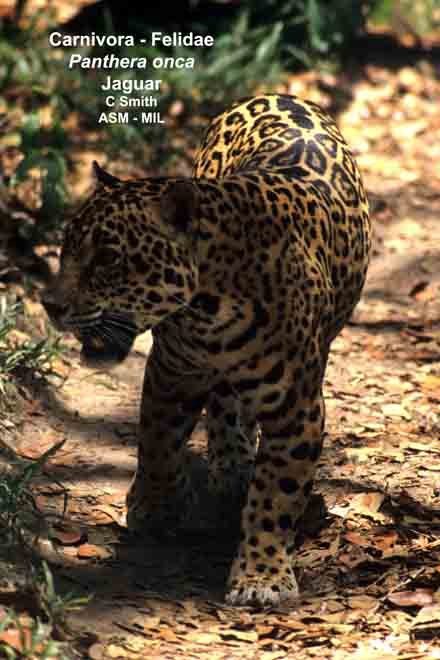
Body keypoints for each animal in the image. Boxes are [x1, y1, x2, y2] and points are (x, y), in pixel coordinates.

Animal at [42, 93, 371, 607]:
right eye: (65, 250)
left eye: (109, 258)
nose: (50, 304)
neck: (210, 304)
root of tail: (276, 94)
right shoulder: (171, 373)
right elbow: (157, 445)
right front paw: (153, 508)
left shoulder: (297, 407)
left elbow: (276, 492)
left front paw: (261, 574)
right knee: (223, 406)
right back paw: (229, 463)